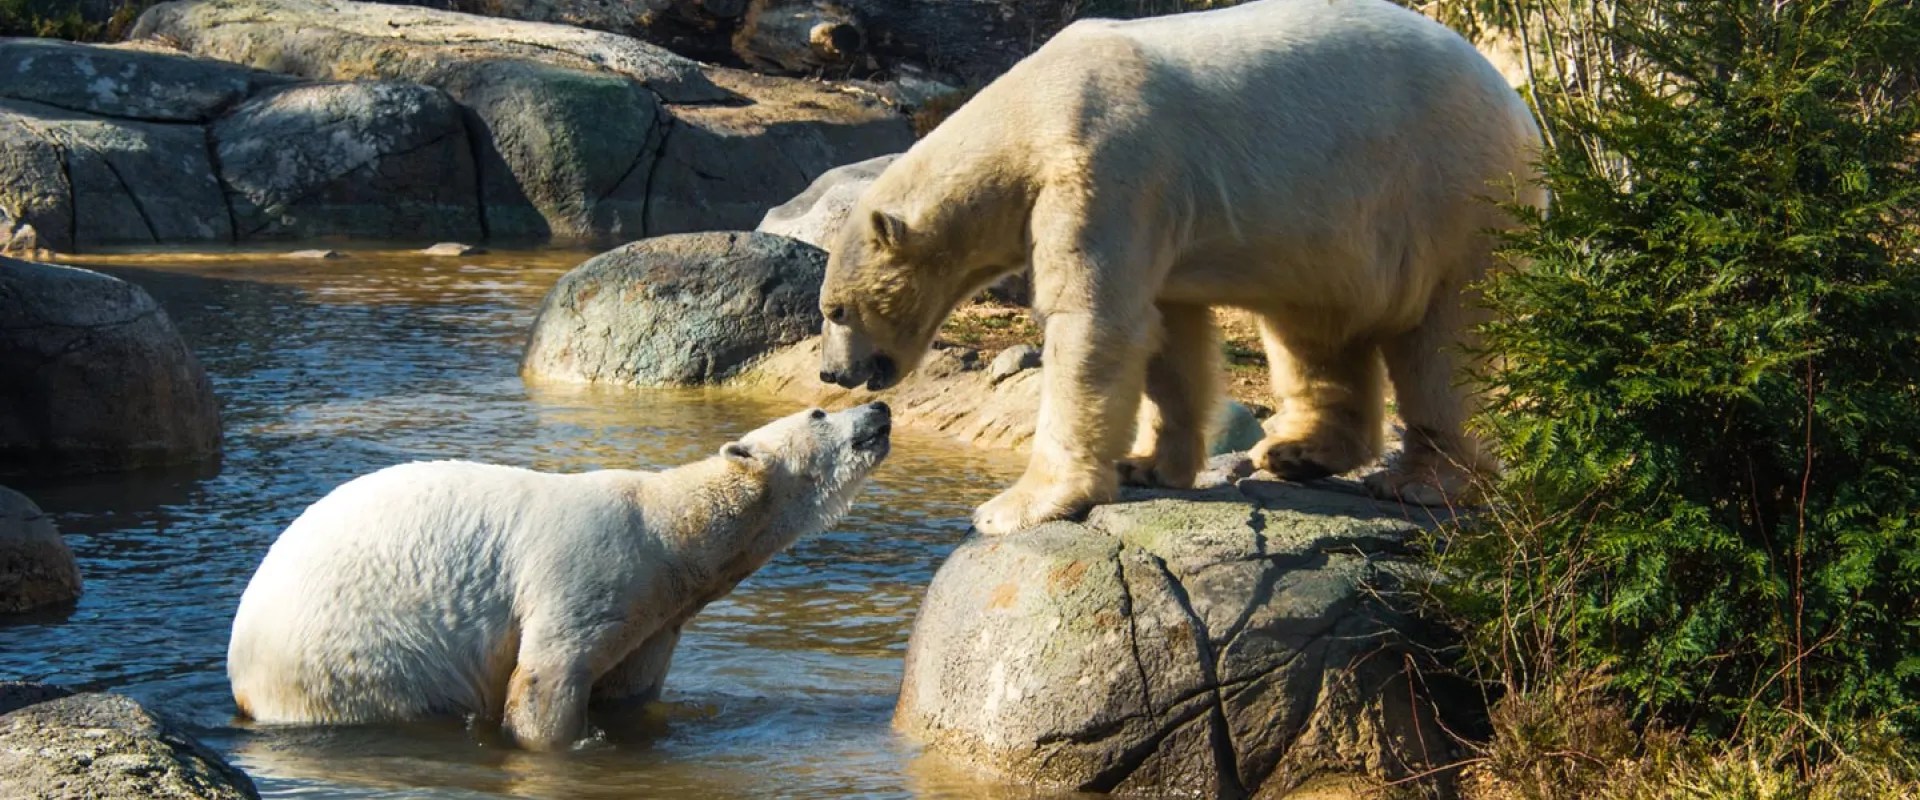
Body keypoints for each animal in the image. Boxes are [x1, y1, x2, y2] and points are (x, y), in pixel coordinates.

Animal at [226, 402, 892, 751]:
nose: (880, 407)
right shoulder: (596, 568)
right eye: (819, 410)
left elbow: (628, 687)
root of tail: (242, 676)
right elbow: (548, 675)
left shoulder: (658, 615)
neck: (672, 528)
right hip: (358, 654)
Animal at [815, 0, 1546, 535]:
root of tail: (1521, 109)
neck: (1028, 111)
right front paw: (1148, 465)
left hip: (1451, 193)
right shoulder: (1153, 207)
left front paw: (1014, 506)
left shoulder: (1105, 169)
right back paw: (1299, 450)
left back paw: (1424, 480)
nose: (831, 372)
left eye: (835, 309)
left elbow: (1093, 322)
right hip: (1340, 227)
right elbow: (1169, 336)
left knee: (1445, 341)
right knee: (1317, 329)